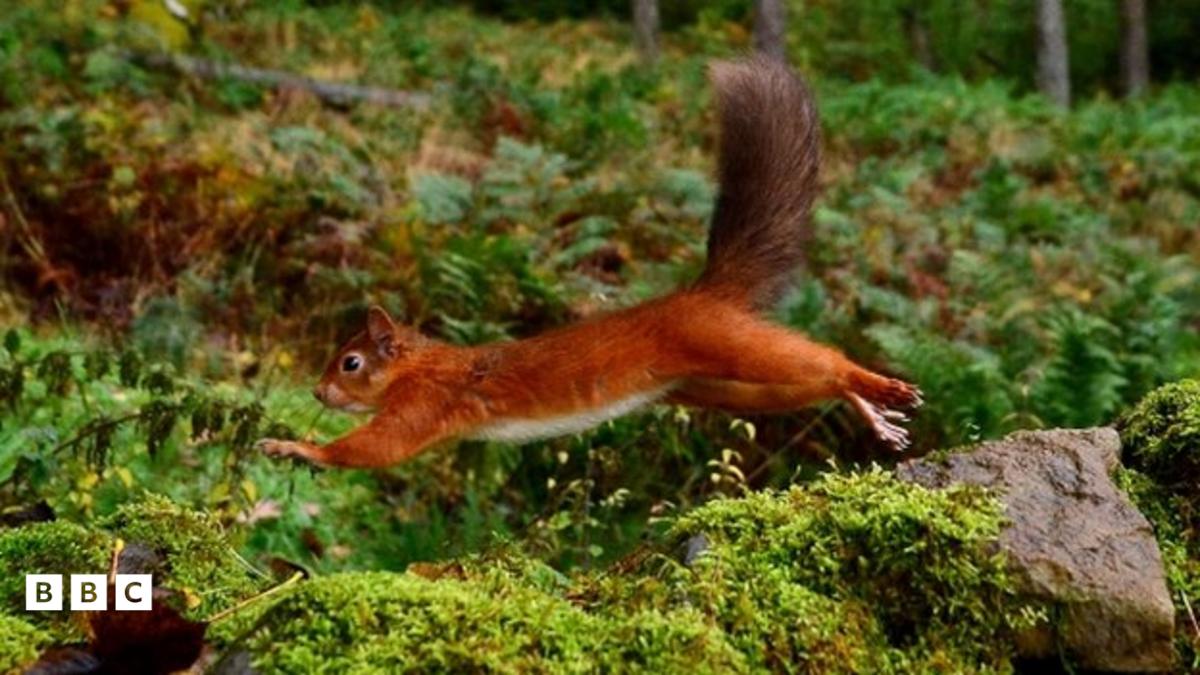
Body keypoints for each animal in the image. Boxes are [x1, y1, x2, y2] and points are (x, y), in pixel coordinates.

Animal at [256, 57, 922, 469]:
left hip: (728, 346)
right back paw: (871, 412)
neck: (424, 366)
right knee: (810, 386)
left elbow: (378, 449)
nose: (316, 392)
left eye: (350, 362)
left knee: (822, 361)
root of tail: (702, 295)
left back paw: (876, 384)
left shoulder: (424, 404)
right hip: (720, 389)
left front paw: (297, 449)